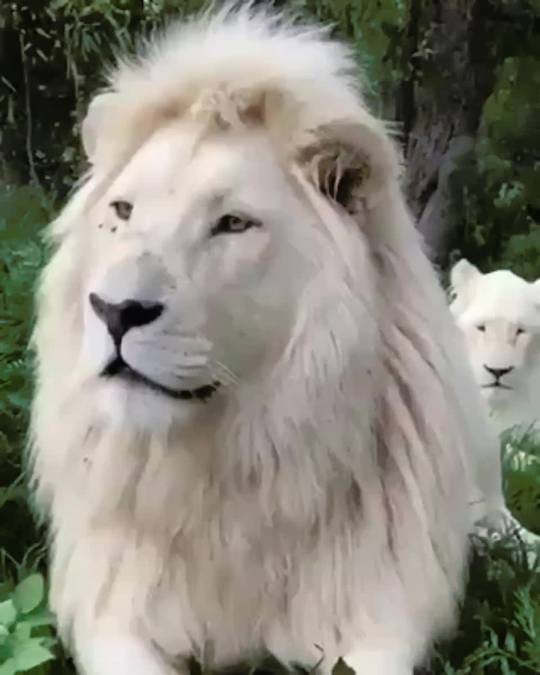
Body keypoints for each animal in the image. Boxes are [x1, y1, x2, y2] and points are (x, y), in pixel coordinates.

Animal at [29, 6, 510, 675]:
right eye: (122, 211)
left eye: (233, 223)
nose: (115, 311)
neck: (229, 464)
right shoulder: (112, 611)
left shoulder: (383, 610)